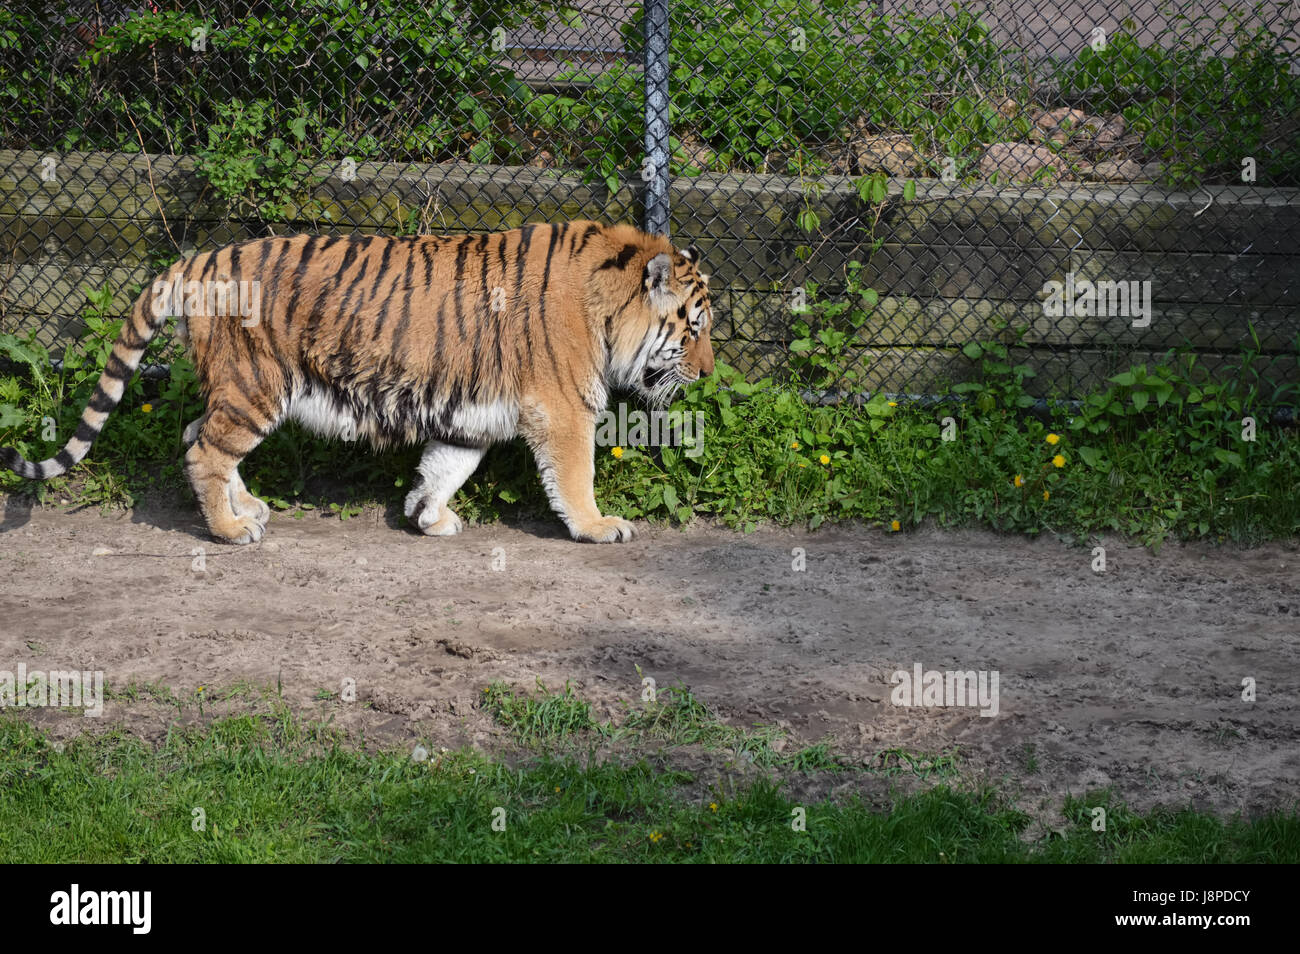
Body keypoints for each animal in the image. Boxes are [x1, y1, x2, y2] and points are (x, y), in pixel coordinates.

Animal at [1, 220, 715, 544]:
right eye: (695, 328)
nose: (708, 373)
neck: (609, 306)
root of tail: (197, 258)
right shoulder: (564, 410)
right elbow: (575, 476)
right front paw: (599, 527)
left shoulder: (470, 410)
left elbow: (446, 466)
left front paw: (428, 516)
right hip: (256, 386)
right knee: (204, 447)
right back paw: (230, 531)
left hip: (237, 389)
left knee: (194, 432)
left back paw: (248, 508)